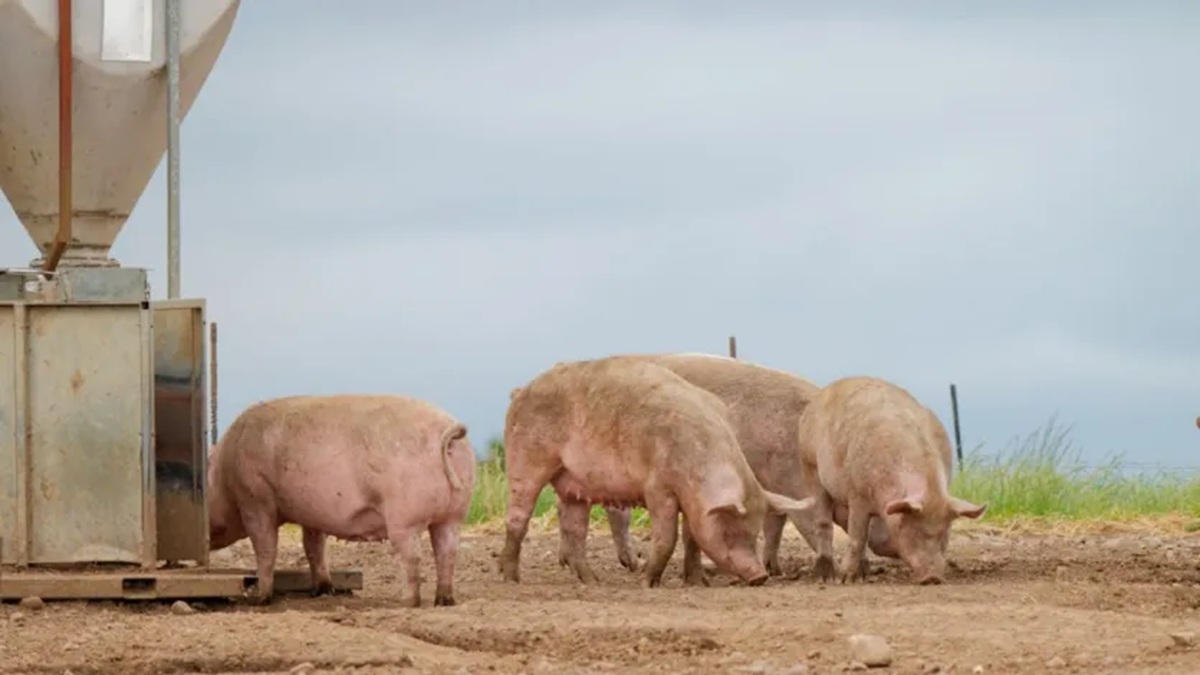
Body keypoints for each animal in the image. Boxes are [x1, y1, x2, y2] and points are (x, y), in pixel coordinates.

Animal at [207, 394, 477, 606]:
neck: (223, 474)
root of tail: (449, 430)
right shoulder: (312, 514)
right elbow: (313, 547)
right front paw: (322, 591)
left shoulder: (254, 498)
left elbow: (265, 548)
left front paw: (259, 599)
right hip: (455, 513)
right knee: (447, 552)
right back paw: (444, 601)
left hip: (405, 515)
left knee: (412, 557)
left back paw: (408, 602)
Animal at [498, 357, 815, 588]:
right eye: (731, 530)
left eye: (753, 531)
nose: (760, 576)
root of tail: (520, 390)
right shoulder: (658, 488)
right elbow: (666, 537)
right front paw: (648, 583)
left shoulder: (695, 503)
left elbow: (691, 539)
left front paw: (697, 583)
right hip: (526, 459)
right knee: (518, 517)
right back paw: (511, 579)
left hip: (573, 483)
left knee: (574, 526)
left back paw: (592, 582)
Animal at [570, 353, 896, 585]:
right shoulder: (791, 483)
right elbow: (810, 524)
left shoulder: (772, 488)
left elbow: (774, 526)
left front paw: (775, 569)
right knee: (616, 513)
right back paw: (630, 565)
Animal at [796, 376, 987, 584]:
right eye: (913, 529)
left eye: (944, 532)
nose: (933, 577)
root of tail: (822, 395)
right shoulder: (857, 494)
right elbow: (857, 536)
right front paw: (845, 580)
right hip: (809, 462)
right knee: (823, 520)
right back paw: (827, 577)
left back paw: (863, 574)